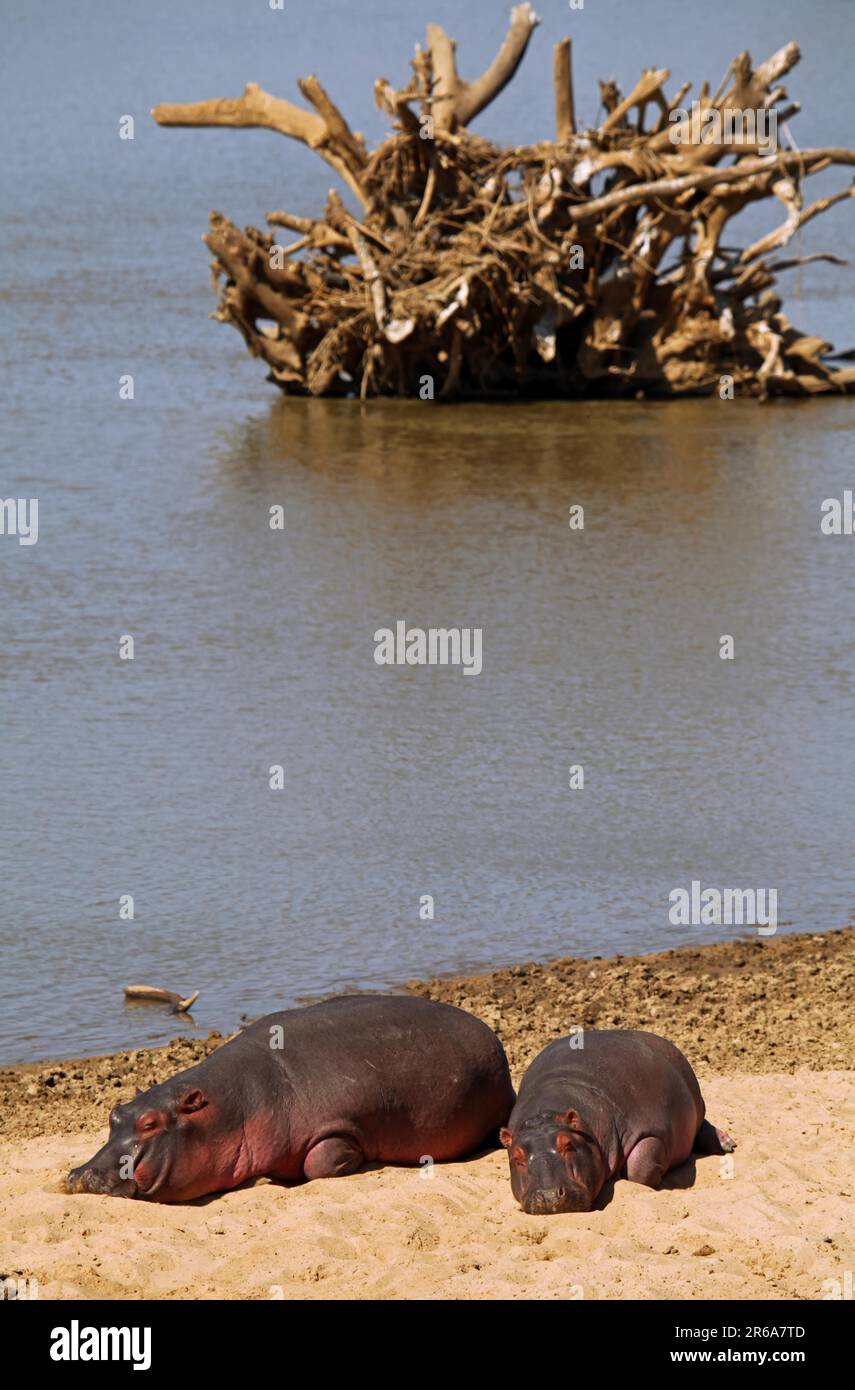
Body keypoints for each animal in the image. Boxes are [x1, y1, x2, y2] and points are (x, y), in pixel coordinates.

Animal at [66, 994, 514, 1201]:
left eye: (150, 1123)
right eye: (114, 1114)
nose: (82, 1174)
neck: (233, 1105)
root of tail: (490, 1034)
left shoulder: (339, 1124)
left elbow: (322, 1161)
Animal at [501, 1028, 735, 1215]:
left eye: (568, 1144)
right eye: (516, 1157)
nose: (549, 1195)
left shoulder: (649, 1127)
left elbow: (640, 1165)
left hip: (696, 1101)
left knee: (701, 1125)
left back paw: (726, 1144)